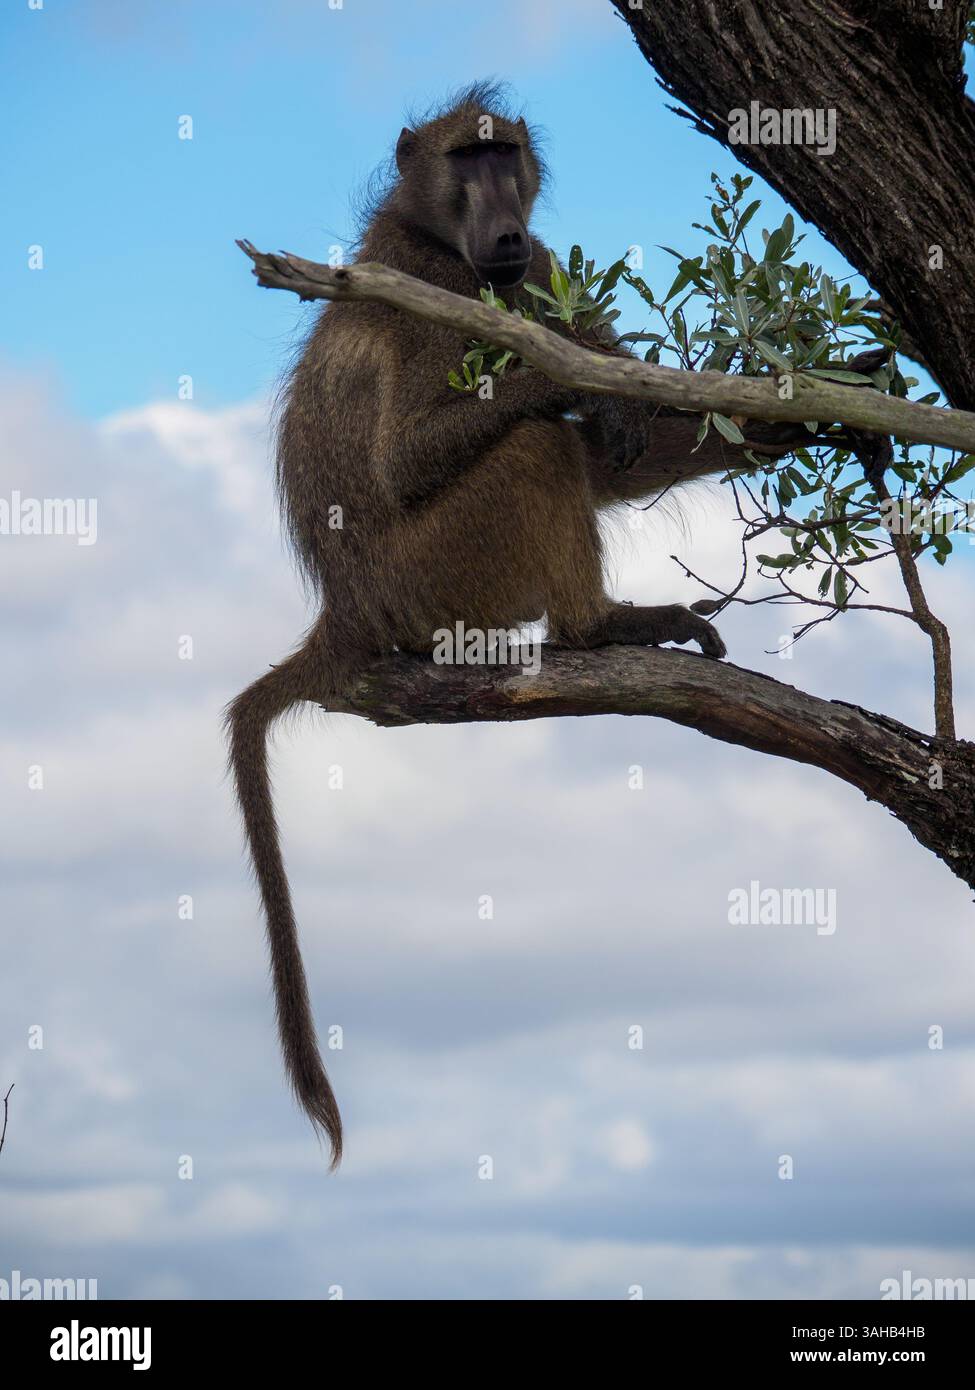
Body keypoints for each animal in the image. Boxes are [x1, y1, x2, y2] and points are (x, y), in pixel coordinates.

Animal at [227, 82, 790, 1167]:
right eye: (464, 160)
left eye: (505, 158)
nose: (505, 231)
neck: (436, 235)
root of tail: (343, 612)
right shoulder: (431, 292)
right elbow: (416, 452)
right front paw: (566, 383)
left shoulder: (537, 275)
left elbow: (617, 451)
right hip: (433, 578)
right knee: (531, 451)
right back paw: (598, 629)